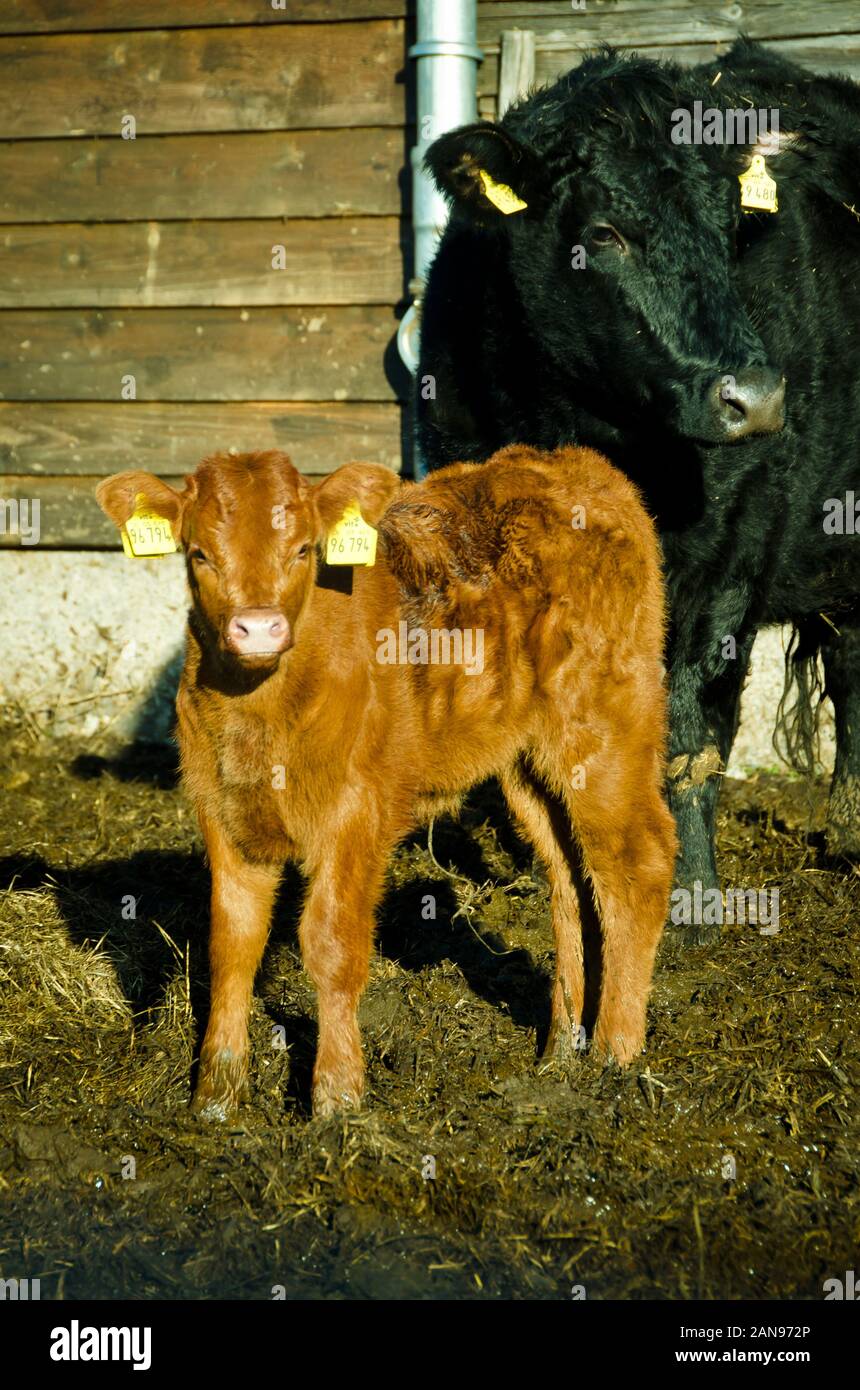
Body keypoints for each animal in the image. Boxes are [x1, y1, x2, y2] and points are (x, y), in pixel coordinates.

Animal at [96, 446, 676, 1119]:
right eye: (198, 554)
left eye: (303, 549)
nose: (259, 628)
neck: (260, 715)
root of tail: (572, 463)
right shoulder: (223, 810)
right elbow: (231, 946)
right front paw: (215, 1098)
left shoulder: (358, 810)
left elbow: (332, 944)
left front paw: (338, 1098)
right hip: (528, 766)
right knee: (571, 882)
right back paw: (562, 1051)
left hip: (606, 727)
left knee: (636, 865)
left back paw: (616, 1054)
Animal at [416, 39, 860, 942]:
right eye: (605, 233)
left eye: (731, 231)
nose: (756, 395)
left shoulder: (732, 550)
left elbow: (689, 726)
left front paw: (688, 898)